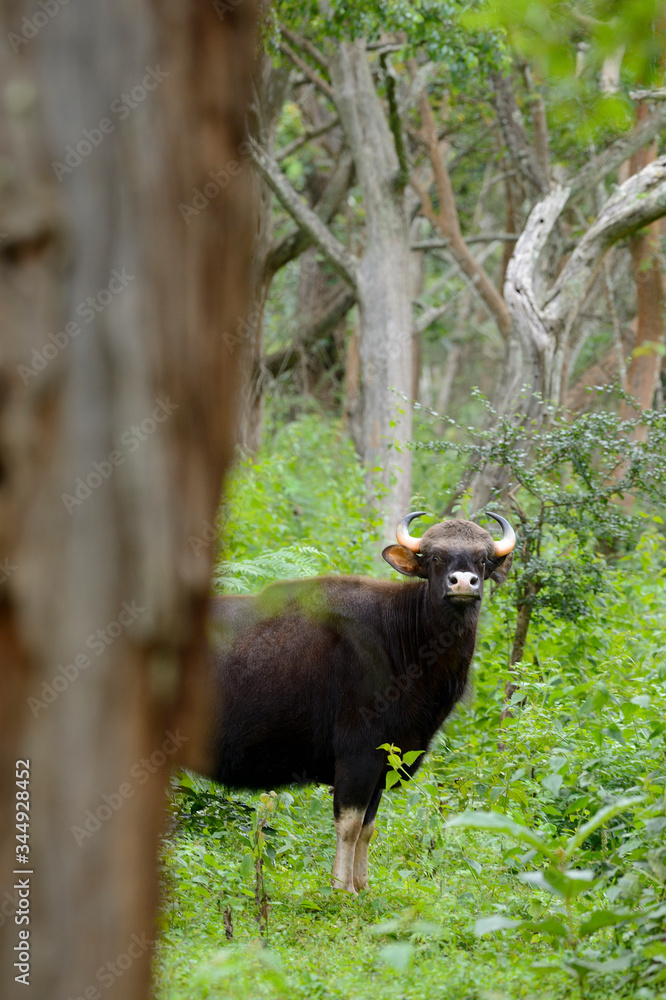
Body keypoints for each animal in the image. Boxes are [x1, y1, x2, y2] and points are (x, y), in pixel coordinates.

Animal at [207, 512, 515, 893]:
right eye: (435, 558)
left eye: (483, 561)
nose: (462, 583)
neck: (404, 643)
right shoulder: (358, 756)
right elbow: (350, 825)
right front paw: (341, 888)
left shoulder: (384, 762)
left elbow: (368, 828)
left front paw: (363, 886)